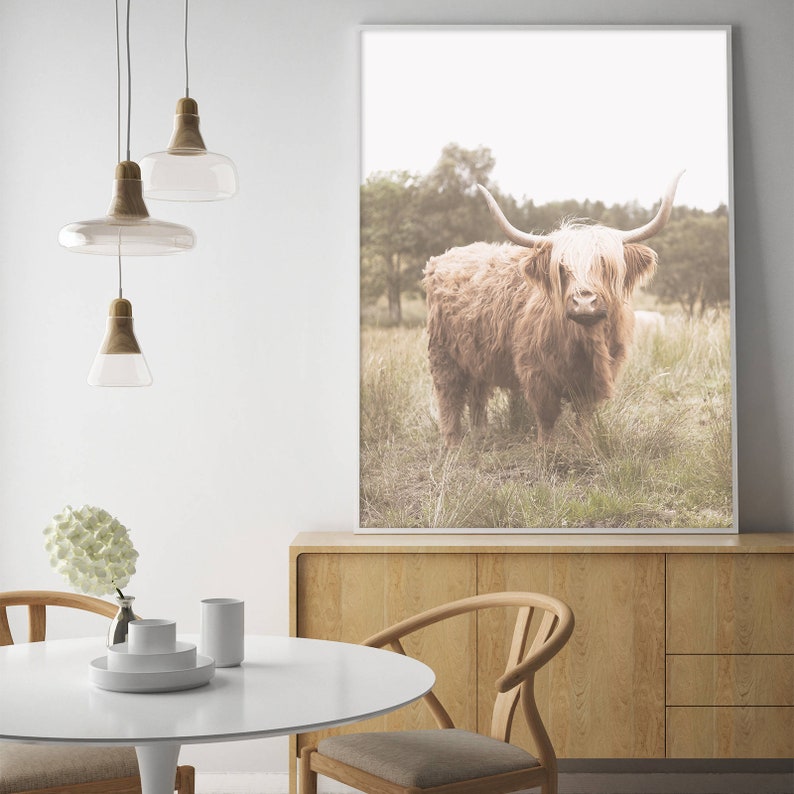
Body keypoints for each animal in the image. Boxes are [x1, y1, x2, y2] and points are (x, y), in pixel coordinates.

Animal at [423, 172, 683, 447]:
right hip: (443, 354)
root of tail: (445, 256)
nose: (584, 302)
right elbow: (546, 417)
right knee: (449, 397)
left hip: (477, 356)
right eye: (562, 267)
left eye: (604, 265)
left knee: (478, 394)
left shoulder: (594, 378)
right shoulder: (536, 373)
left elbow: (584, 416)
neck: (584, 343)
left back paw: (480, 436)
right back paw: (452, 444)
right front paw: (546, 449)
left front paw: (585, 444)